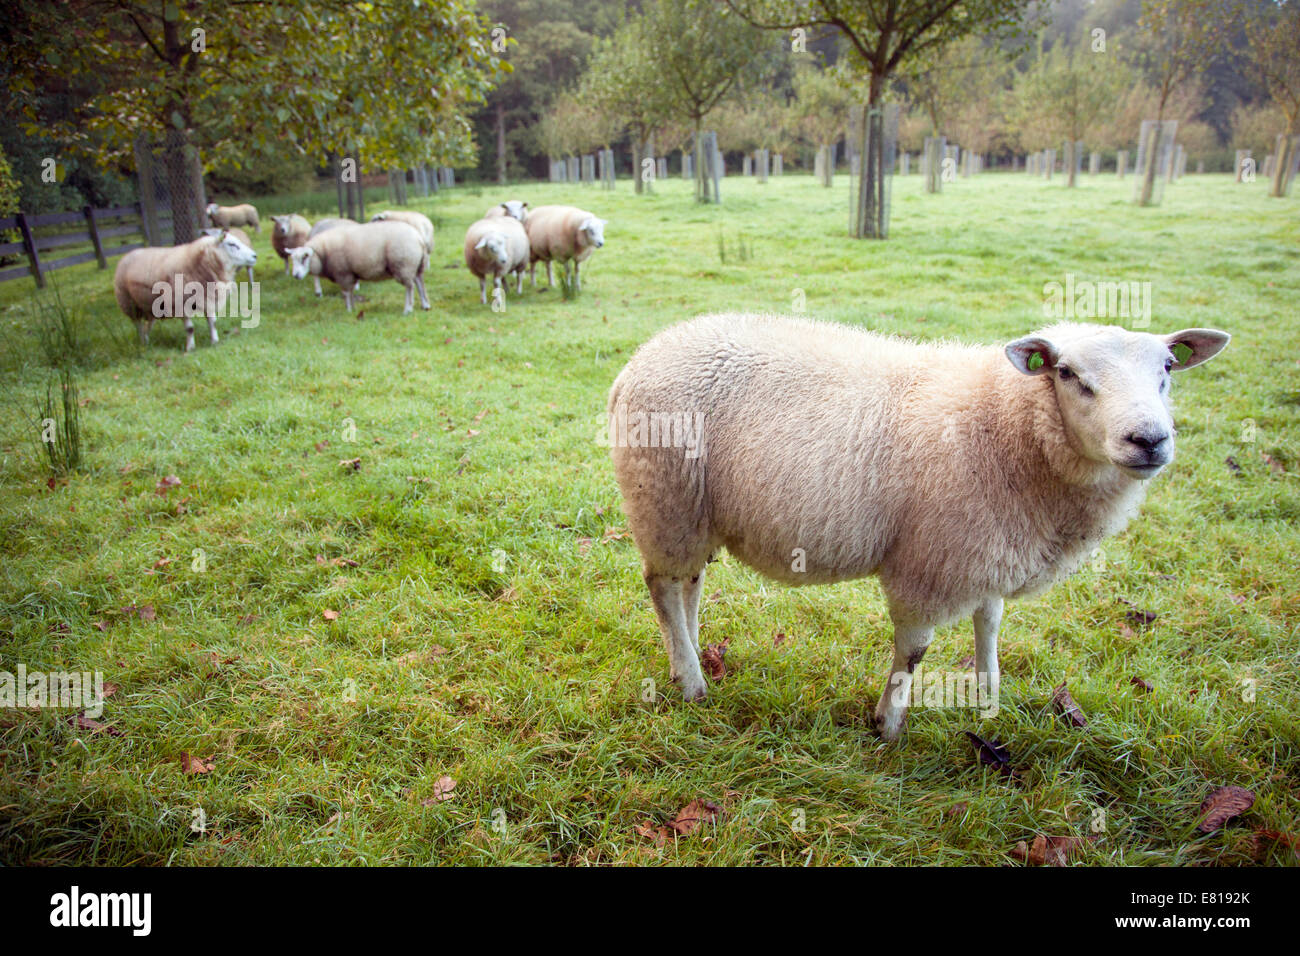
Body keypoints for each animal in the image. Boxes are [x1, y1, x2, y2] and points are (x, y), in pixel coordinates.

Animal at [113, 231, 258, 351]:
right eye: (232, 244)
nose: (255, 256)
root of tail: (128, 254)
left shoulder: (208, 299)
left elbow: (213, 323)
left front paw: (215, 342)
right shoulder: (180, 305)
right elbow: (189, 328)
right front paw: (190, 348)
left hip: (150, 306)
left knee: (148, 324)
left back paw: (146, 340)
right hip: (129, 302)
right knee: (137, 324)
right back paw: (142, 343)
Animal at [286, 220, 429, 313]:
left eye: (305, 257)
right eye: (293, 259)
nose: (295, 275)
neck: (323, 252)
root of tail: (418, 238)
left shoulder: (343, 273)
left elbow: (346, 293)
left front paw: (349, 309)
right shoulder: (349, 274)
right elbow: (350, 292)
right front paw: (353, 308)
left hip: (403, 264)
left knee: (410, 287)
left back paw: (408, 309)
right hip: (415, 265)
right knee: (419, 283)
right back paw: (425, 305)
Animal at [608, 314, 1230, 741]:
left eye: (1167, 370)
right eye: (1068, 373)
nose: (1149, 440)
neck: (1006, 426)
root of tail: (641, 357)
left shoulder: (987, 547)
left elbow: (990, 622)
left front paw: (989, 694)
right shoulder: (929, 562)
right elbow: (914, 651)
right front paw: (888, 724)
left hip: (692, 513)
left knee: (689, 584)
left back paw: (687, 657)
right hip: (663, 498)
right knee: (662, 587)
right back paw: (691, 682)